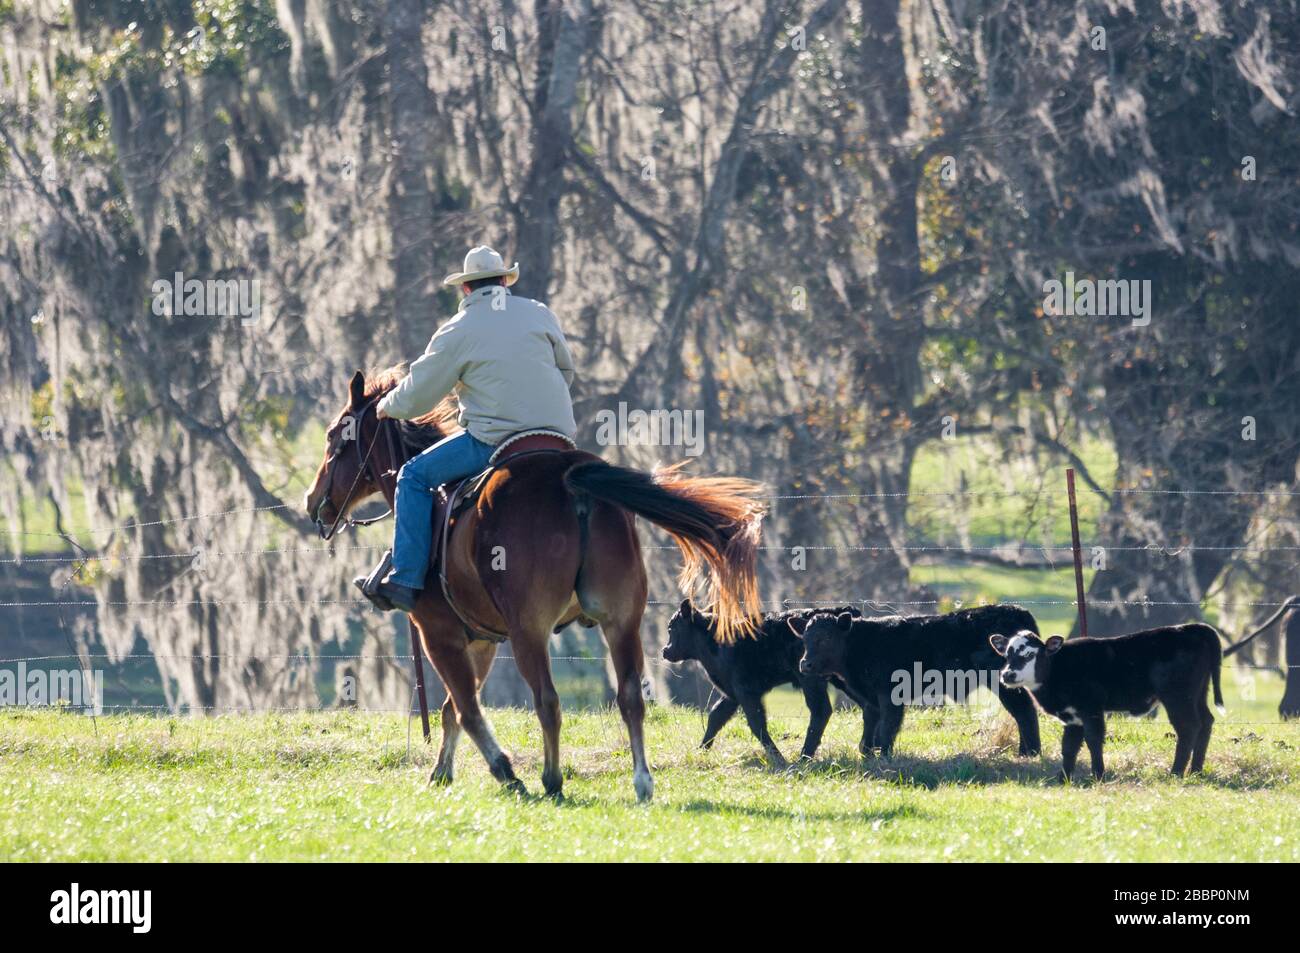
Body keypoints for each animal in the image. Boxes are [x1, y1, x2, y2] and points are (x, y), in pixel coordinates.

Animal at [661, 600, 874, 767]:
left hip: (810, 677)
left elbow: (757, 723)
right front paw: (702, 750)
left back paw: (804, 757)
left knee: (821, 710)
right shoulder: (732, 693)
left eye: (672, 628)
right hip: (843, 678)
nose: (665, 650)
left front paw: (778, 758)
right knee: (868, 705)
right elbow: (716, 716)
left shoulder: (745, 690)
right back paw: (867, 751)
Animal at [795, 604, 1043, 758]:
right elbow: (870, 729)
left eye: (827, 637)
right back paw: (1026, 753)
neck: (862, 642)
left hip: (1004, 683)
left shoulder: (890, 696)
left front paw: (884, 758)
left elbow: (887, 729)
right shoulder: (870, 699)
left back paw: (1030, 753)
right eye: (804, 638)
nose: (805, 664)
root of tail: (1019, 611)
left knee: (1024, 711)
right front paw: (867, 756)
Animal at [989, 624, 1224, 781]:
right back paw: (1196, 771)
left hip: (1178, 697)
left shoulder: (1091, 709)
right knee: (1206, 722)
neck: (1059, 667)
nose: (1008, 674)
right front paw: (1063, 778)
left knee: (1188, 727)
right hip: (1198, 694)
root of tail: (1191, 628)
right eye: (1006, 654)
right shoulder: (1072, 716)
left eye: (1030, 654)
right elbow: (1069, 747)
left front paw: (1098, 775)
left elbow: (1093, 740)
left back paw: (1175, 773)